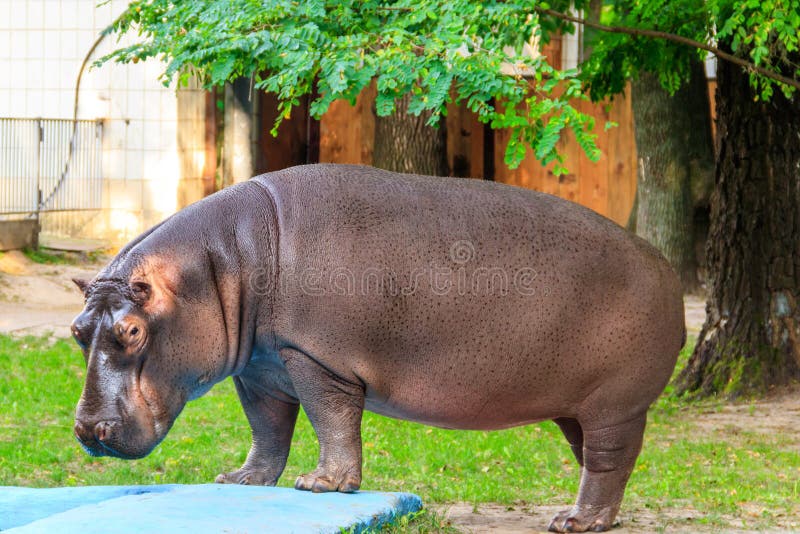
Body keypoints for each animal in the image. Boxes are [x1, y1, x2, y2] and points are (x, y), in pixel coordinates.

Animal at [70, 163, 684, 532]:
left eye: (132, 331)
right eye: (78, 331)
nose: (86, 429)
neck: (226, 262)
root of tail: (666, 268)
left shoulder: (318, 358)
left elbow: (331, 420)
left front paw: (322, 486)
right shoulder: (260, 370)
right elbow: (267, 430)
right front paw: (240, 481)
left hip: (614, 404)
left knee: (607, 459)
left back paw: (575, 521)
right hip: (577, 407)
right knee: (609, 461)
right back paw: (595, 518)